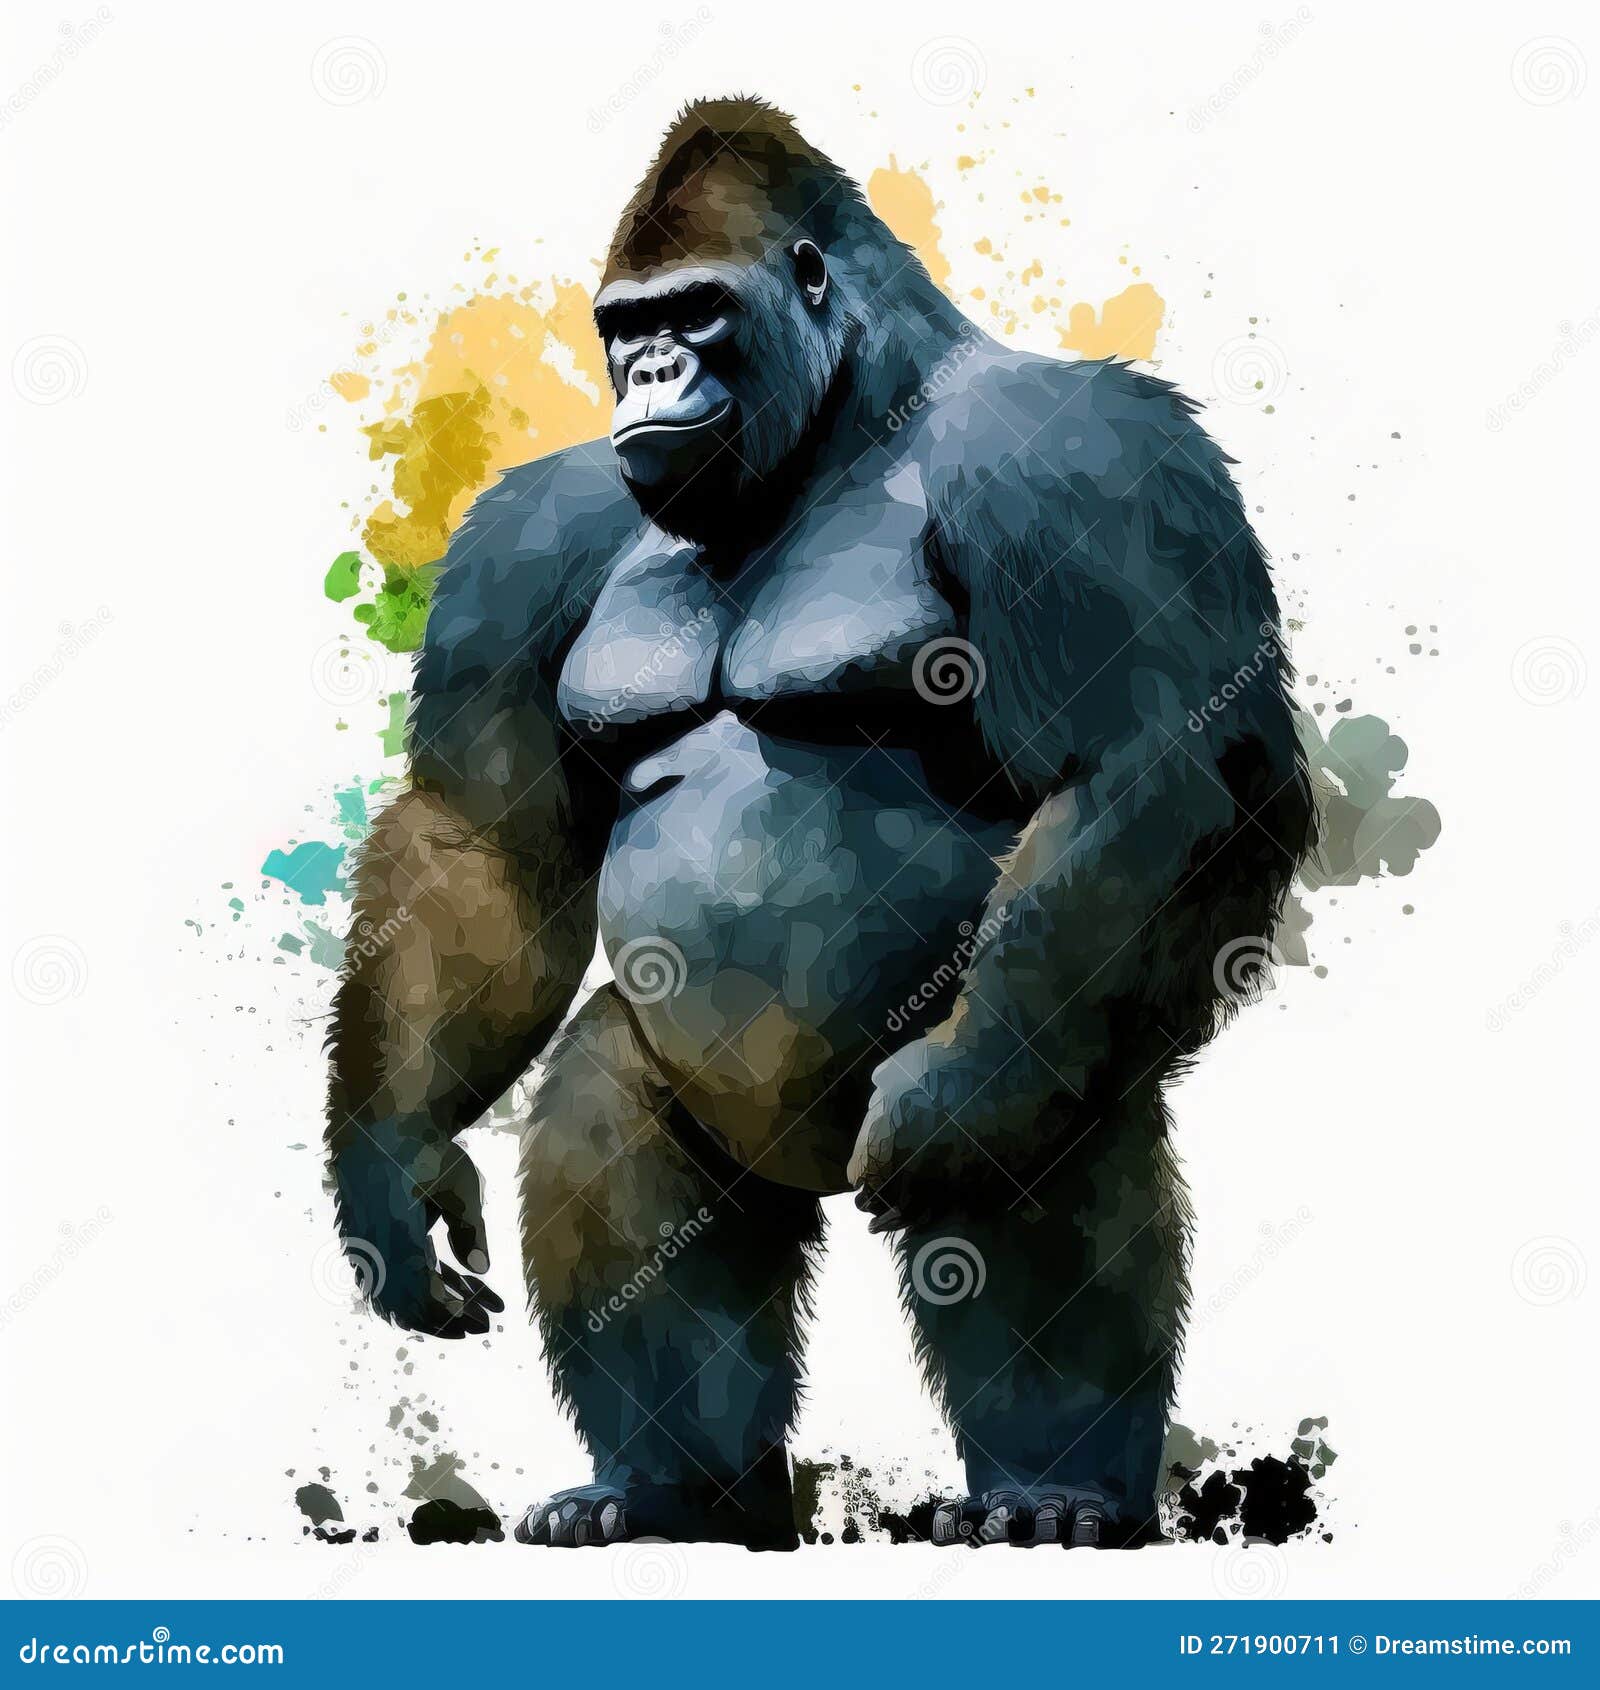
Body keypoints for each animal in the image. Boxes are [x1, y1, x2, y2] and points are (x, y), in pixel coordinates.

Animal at [324, 97, 1313, 1552]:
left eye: (695, 310)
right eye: (623, 325)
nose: (648, 373)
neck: (854, 415)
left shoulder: (1086, 449)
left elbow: (1163, 763)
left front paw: (959, 1110)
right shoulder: (534, 525)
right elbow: (488, 852)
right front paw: (391, 1175)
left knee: (1041, 1094)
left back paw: (1056, 1488)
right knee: (610, 1088)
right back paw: (667, 1488)